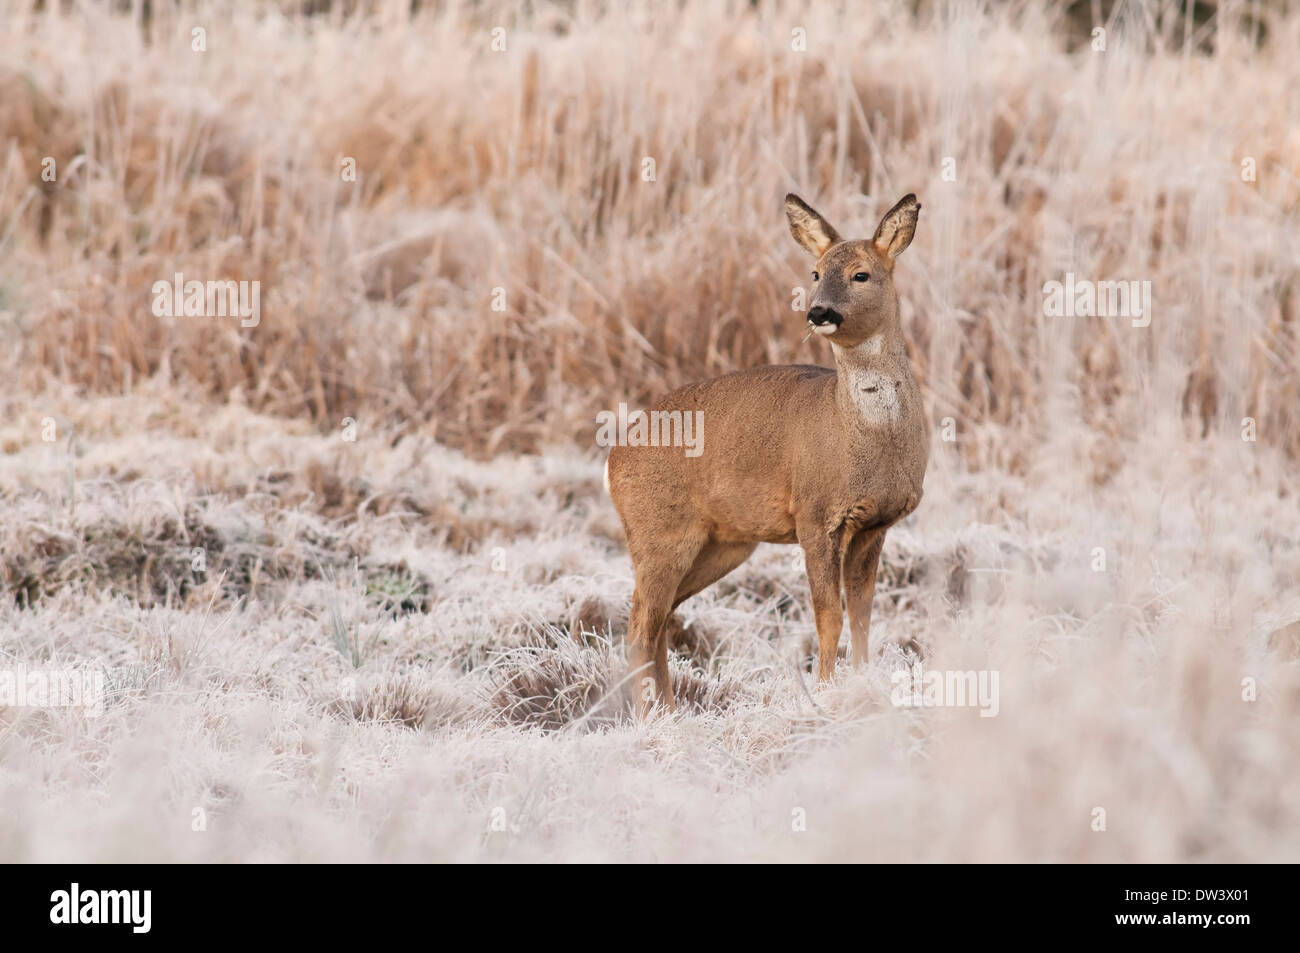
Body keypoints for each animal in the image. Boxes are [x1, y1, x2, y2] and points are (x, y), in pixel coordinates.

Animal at [605, 192, 928, 715]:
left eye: (861, 274)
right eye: (815, 272)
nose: (819, 312)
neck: (859, 437)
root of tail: (612, 457)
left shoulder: (876, 524)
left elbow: (862, 617)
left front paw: (861, 688)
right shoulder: (815, 515)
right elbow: (828, 617)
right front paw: (824, 695)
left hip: (722, 544)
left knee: (658, 619)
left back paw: (670, 712)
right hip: (657, 531)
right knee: (638, 624)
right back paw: (645, 717)